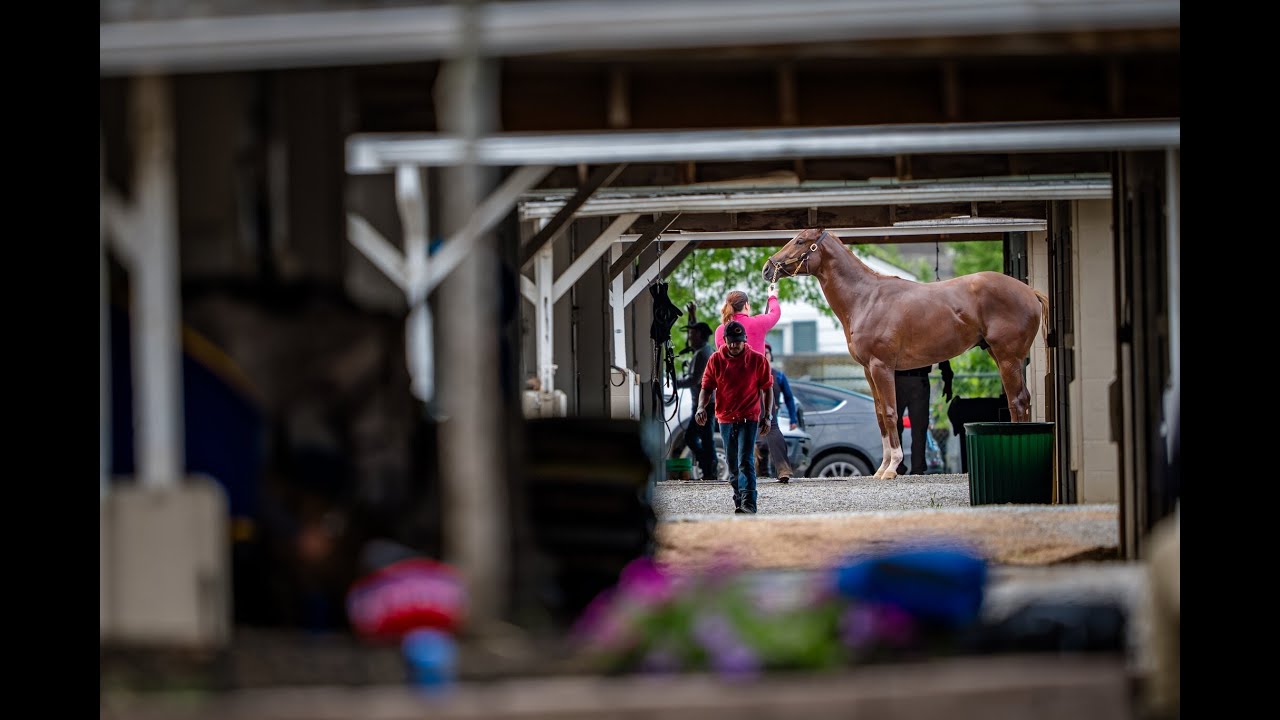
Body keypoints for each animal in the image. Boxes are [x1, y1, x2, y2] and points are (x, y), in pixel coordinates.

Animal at [763, 228, 1049, 479]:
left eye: (800, 241)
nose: (767, 268)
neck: (865, 299)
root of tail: (1029, 291)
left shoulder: (881, 366)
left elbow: (891, 413)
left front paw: (892, 468)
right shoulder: (868, 370)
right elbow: (880, 415)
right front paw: (882, 468)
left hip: (1007, 358)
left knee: (1017, 401)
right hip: (1002, 356)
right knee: (1023, 399)